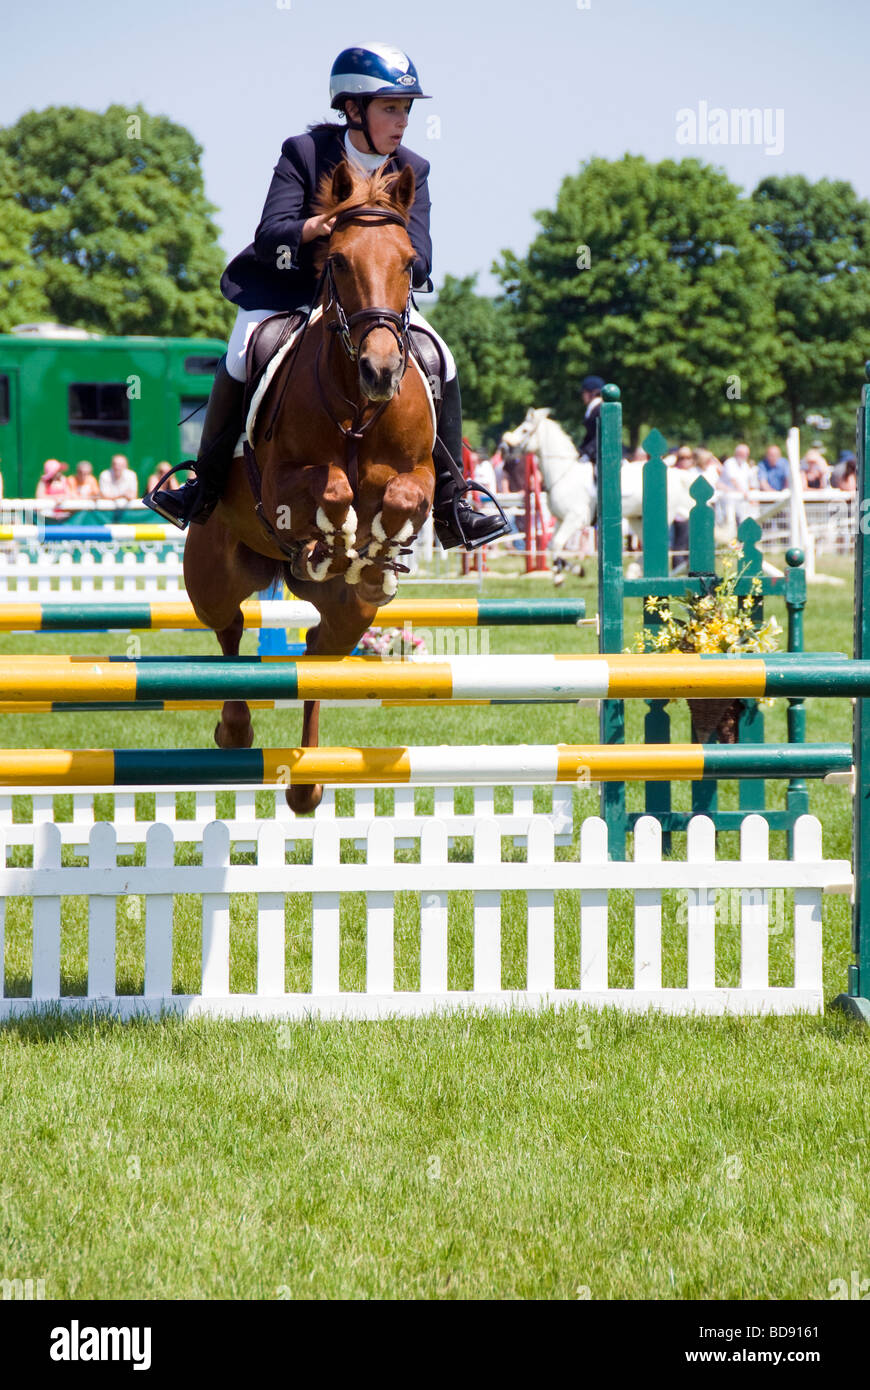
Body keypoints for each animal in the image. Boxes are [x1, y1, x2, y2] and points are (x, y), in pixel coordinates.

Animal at [184, 161, 436, 814]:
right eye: (339, 260)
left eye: (409, 263)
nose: (381, 372)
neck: (356, 405)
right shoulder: (279, 486)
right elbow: (333, 490)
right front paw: (334, 537)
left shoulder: (421, 474)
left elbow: (402, 496)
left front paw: (372, 552)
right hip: (212, 575)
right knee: (229, 629)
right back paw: (234, 729)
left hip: (351, 614)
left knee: (320, 652)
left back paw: (307, 783)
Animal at [501, 408, 694, 581]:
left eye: (525, 430)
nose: (504, 449)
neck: (563, 474)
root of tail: (675, 473)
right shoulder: (562, 520)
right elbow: (552, 545)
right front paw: (569, 571)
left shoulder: (575, 519)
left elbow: (557, 543)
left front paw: (564, 575)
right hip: (637, 518)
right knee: (650, 545)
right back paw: (635, 572)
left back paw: (636, 571)